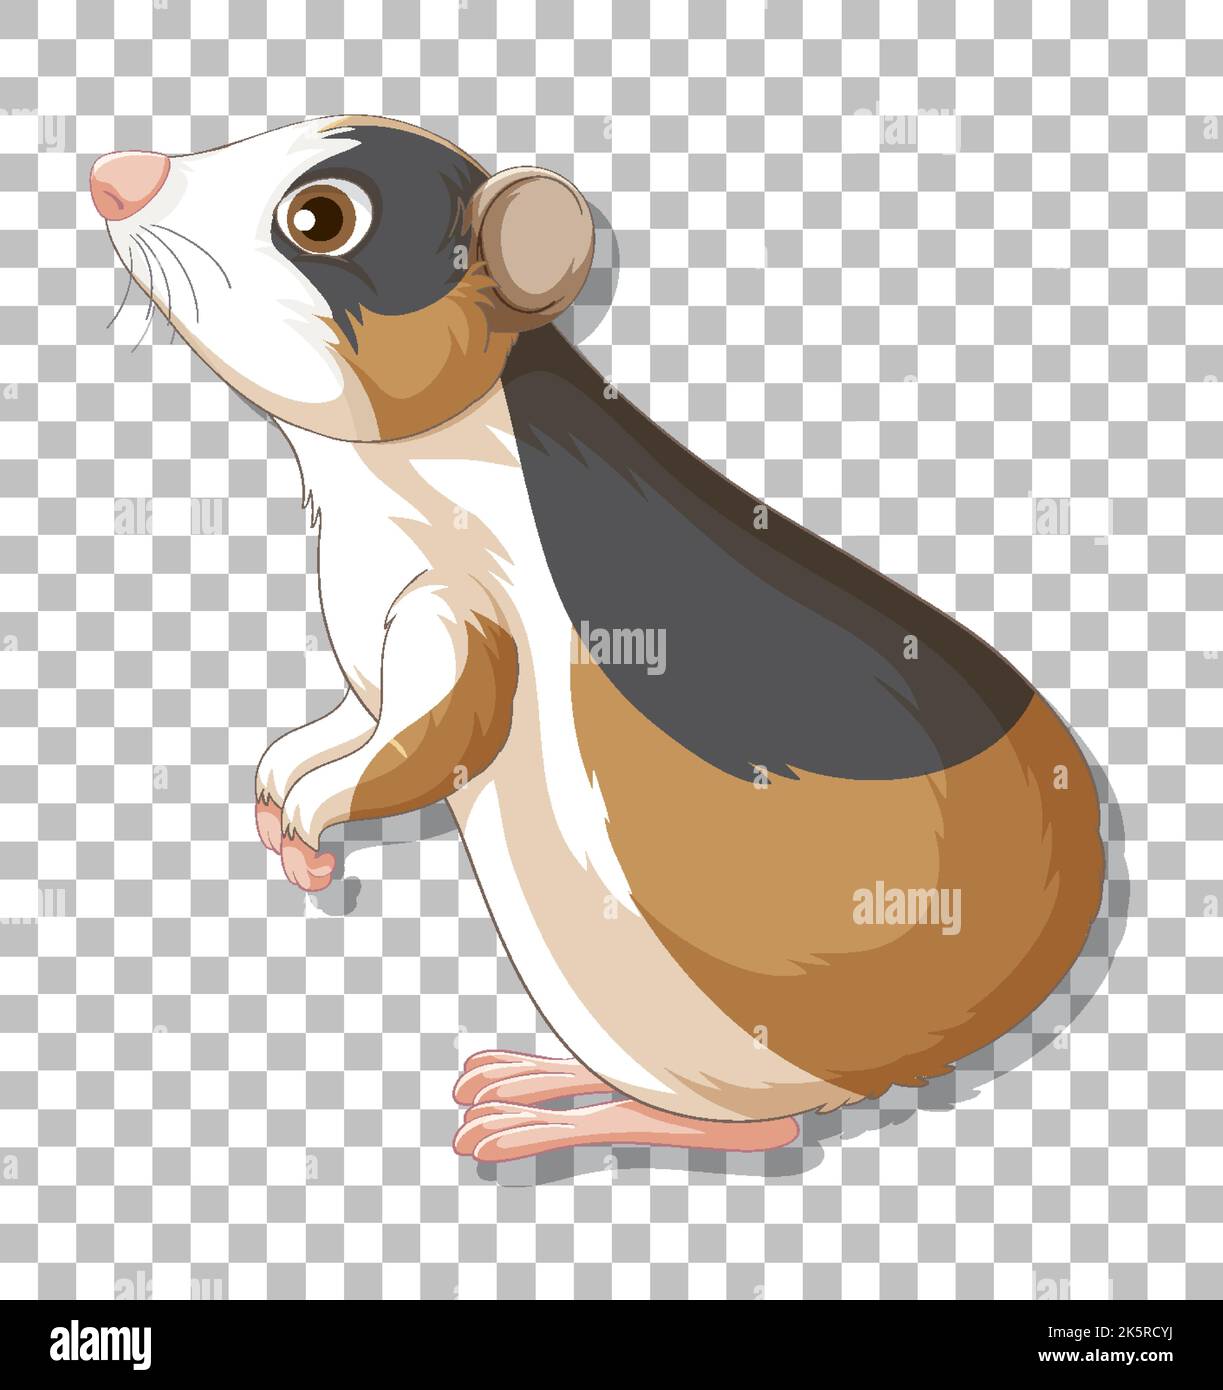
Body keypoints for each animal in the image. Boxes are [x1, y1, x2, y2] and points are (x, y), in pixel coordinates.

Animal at [90, 116, 1104, 1161]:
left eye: (321, 218)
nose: (116, 175)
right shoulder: (375, 651)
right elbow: (349, 721)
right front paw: (278, 786)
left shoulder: (455, 619)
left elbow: (431, 740)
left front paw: (310, 813)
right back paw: (536, 1076)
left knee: (761, 1128)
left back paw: (537, 1120)